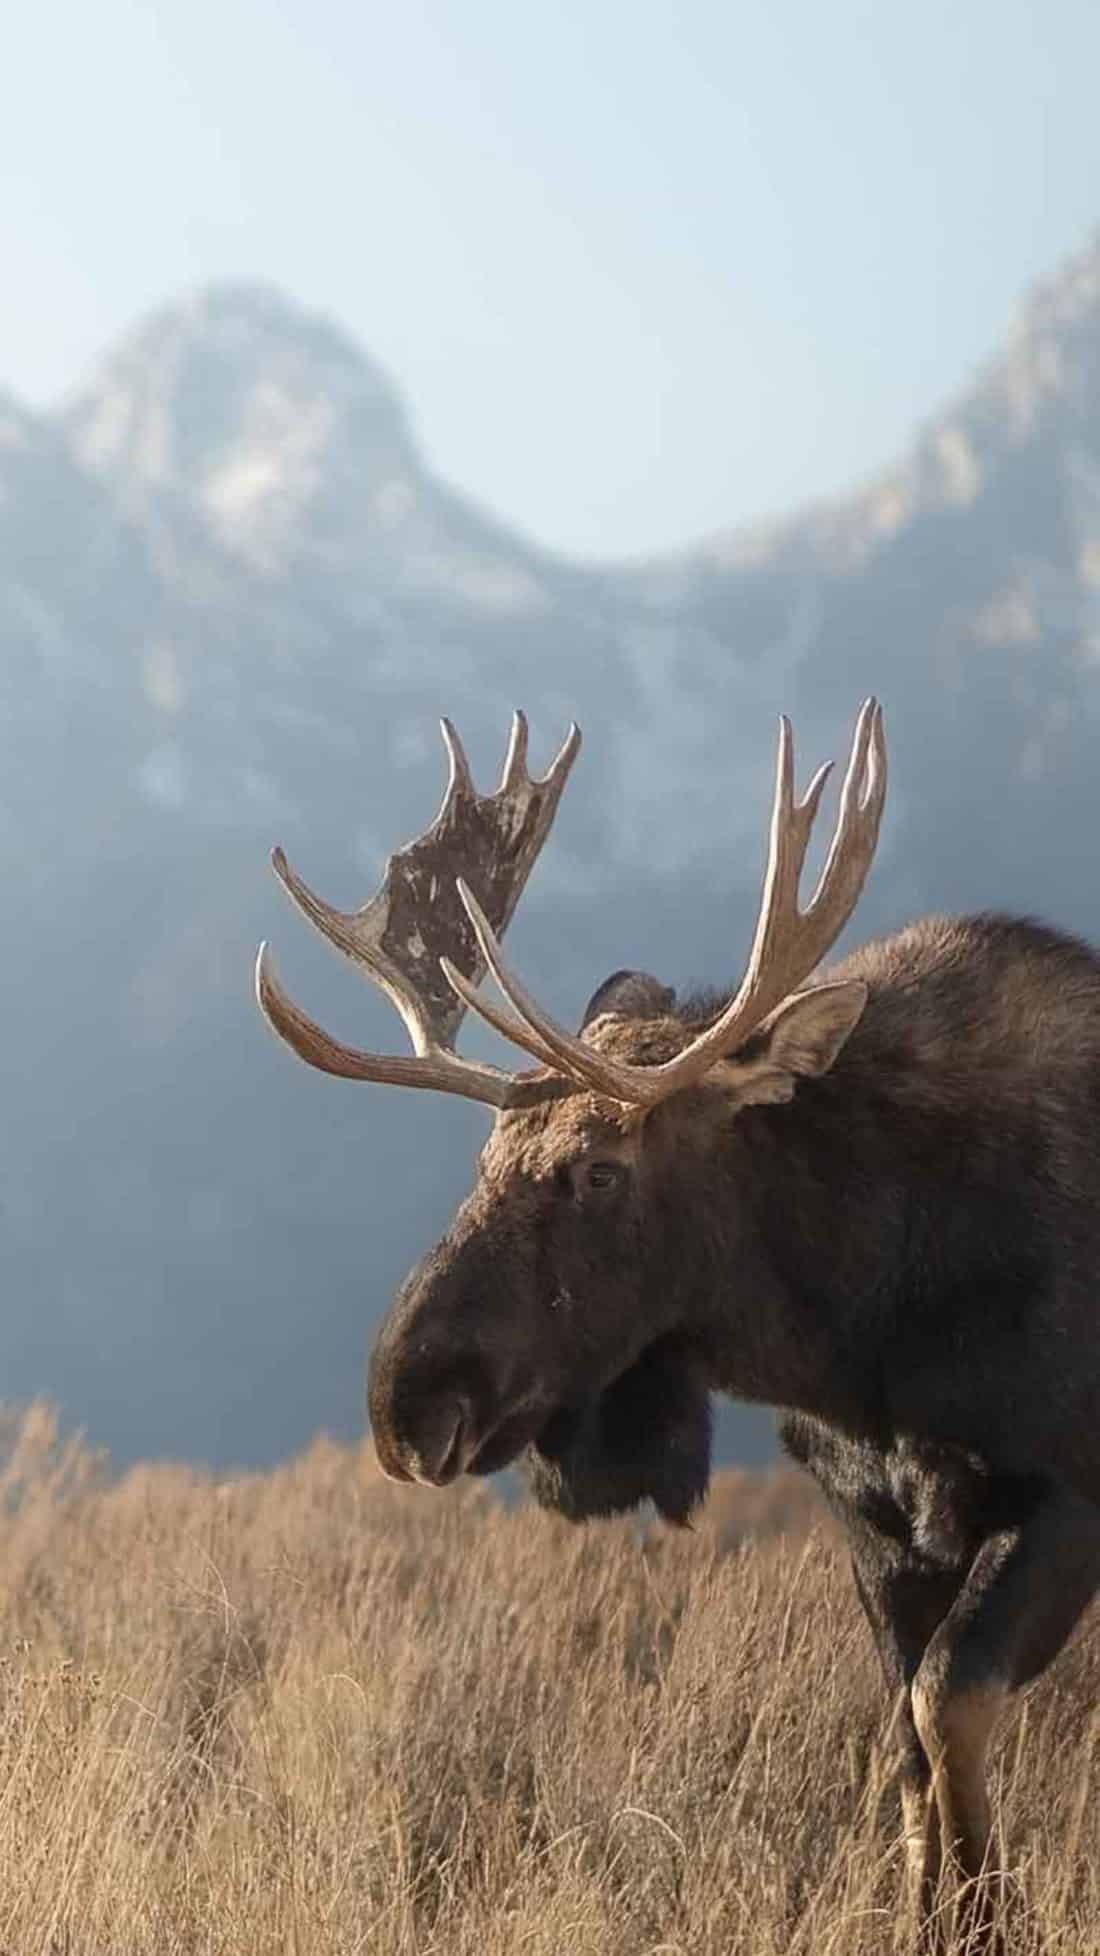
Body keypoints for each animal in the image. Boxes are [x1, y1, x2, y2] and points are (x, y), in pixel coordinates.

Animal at [255, 703, 1100, 1949]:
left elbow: (946, 1705)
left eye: (600, 1170)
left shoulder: (1062, 1488)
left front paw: (990, 1919)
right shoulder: (871, 1522)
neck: (867, 1323)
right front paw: (926, 1918)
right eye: (481, 1160)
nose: (404, 1398)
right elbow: (904, 1737)